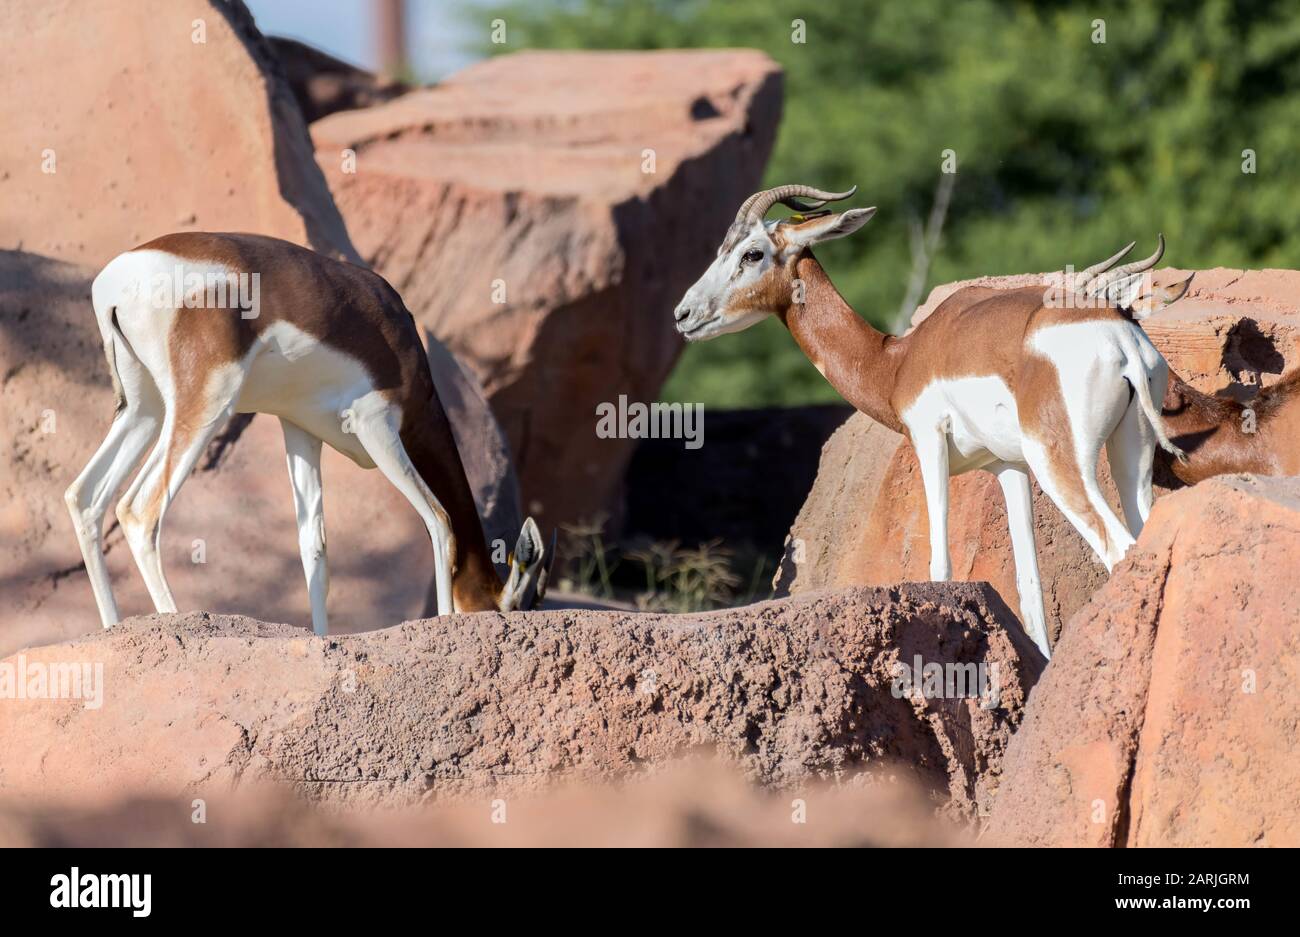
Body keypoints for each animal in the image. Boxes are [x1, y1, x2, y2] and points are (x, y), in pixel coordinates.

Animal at [65, 233, 553, 635]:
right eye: (518, 607)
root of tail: (116, 278)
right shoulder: (375, 424)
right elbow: (439, 518)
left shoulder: (299, 429)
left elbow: (313, 549)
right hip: (206, 405)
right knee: (138, 509)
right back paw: (175, 621)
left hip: (143, 408)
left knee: (85, 496)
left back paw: (112, 627)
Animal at [674, 185, 1194, 658]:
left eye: (752, 253)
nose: (683, 314)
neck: (899, 360)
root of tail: (1120, 336)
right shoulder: (1009, 467)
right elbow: (1029, 584)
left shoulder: (928, 441)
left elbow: (940, 564)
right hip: (1129, 454)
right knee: (1143, 538)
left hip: (1062, 463)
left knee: (1117, 548)